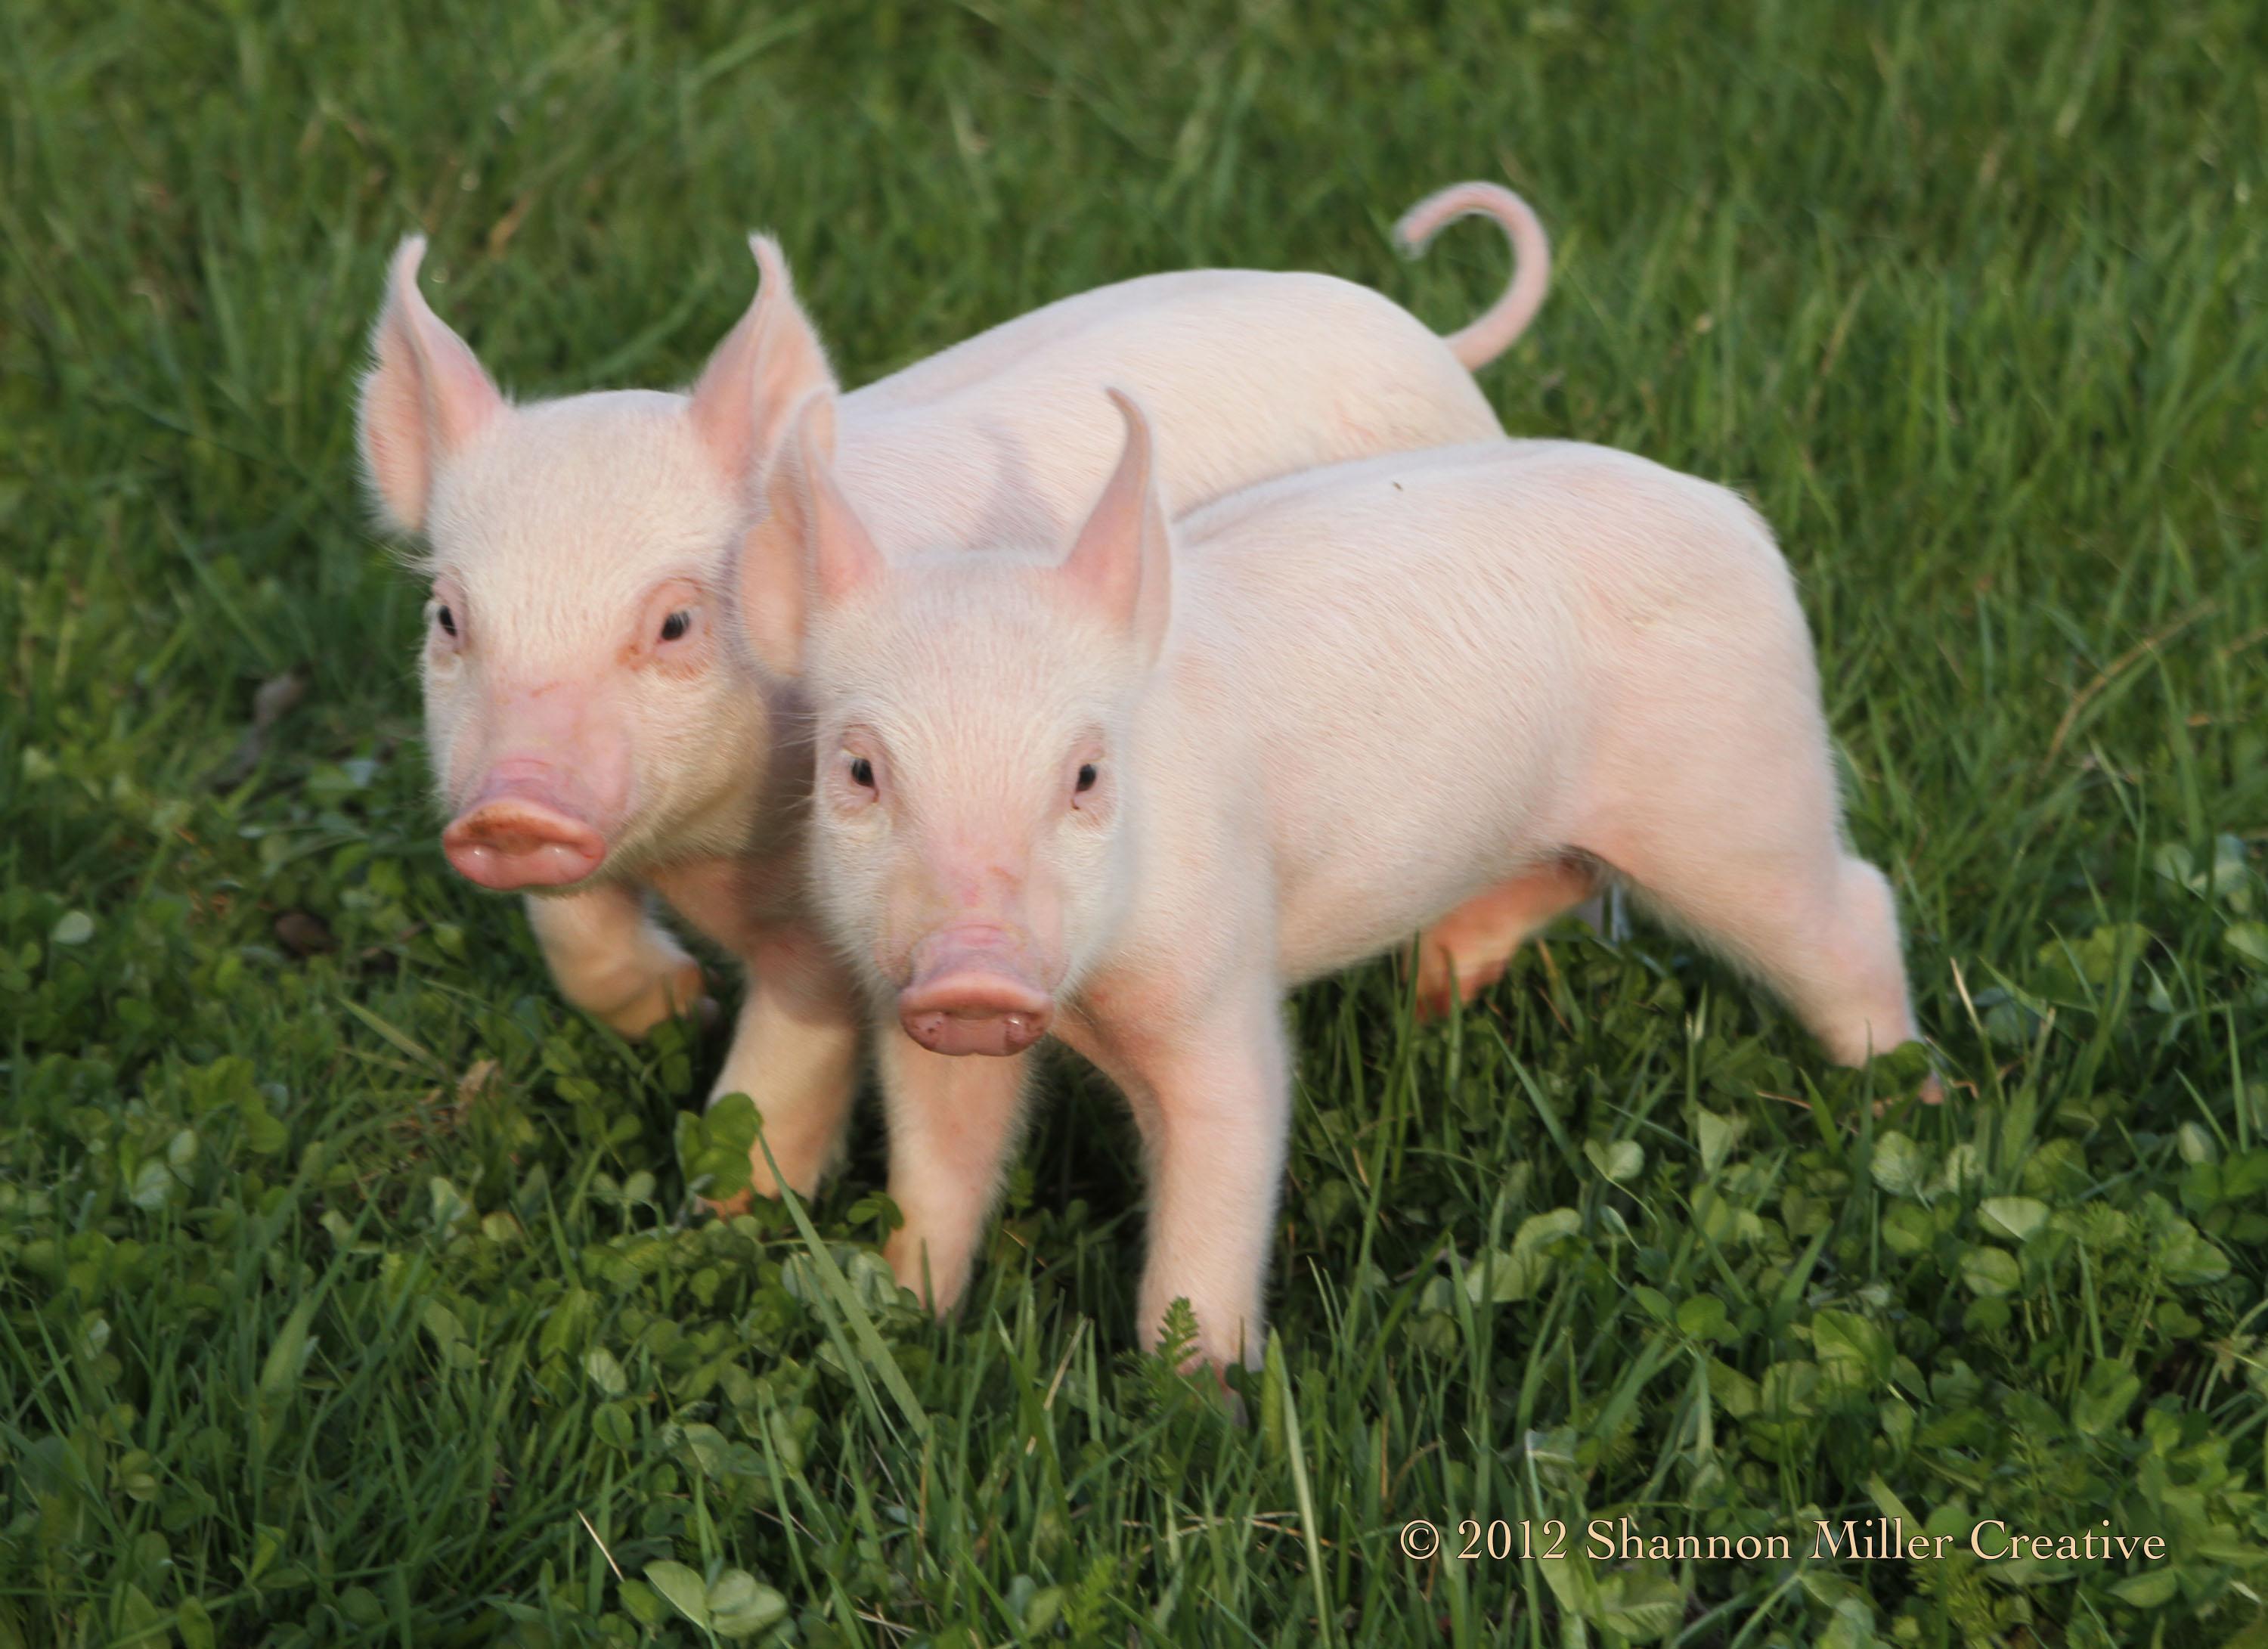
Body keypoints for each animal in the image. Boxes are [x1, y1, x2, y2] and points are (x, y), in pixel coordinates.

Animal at [357, 182, 1550, 1201]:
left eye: (676, 623)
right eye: (448, 619)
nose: (514, 806)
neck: (693, 855)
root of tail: (1438, 345)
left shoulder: (834, 919)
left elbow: (785, 1069)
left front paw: (738, 1211)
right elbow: (577, 939)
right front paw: (676, 1009)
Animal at [758, 390, 1927, 1370]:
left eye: (1086, 774)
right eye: (860, 770)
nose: (973, 976)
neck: (1088, 999)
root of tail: (1733, 513)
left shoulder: (1219, 971)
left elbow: (1226, 1163)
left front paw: (1201, 1403)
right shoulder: (907, 1008)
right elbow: (940, 1161)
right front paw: (908, 1322)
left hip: (1744, 787)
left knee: (1856, 905)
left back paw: (1907, 1095)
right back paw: (1434, 1000)